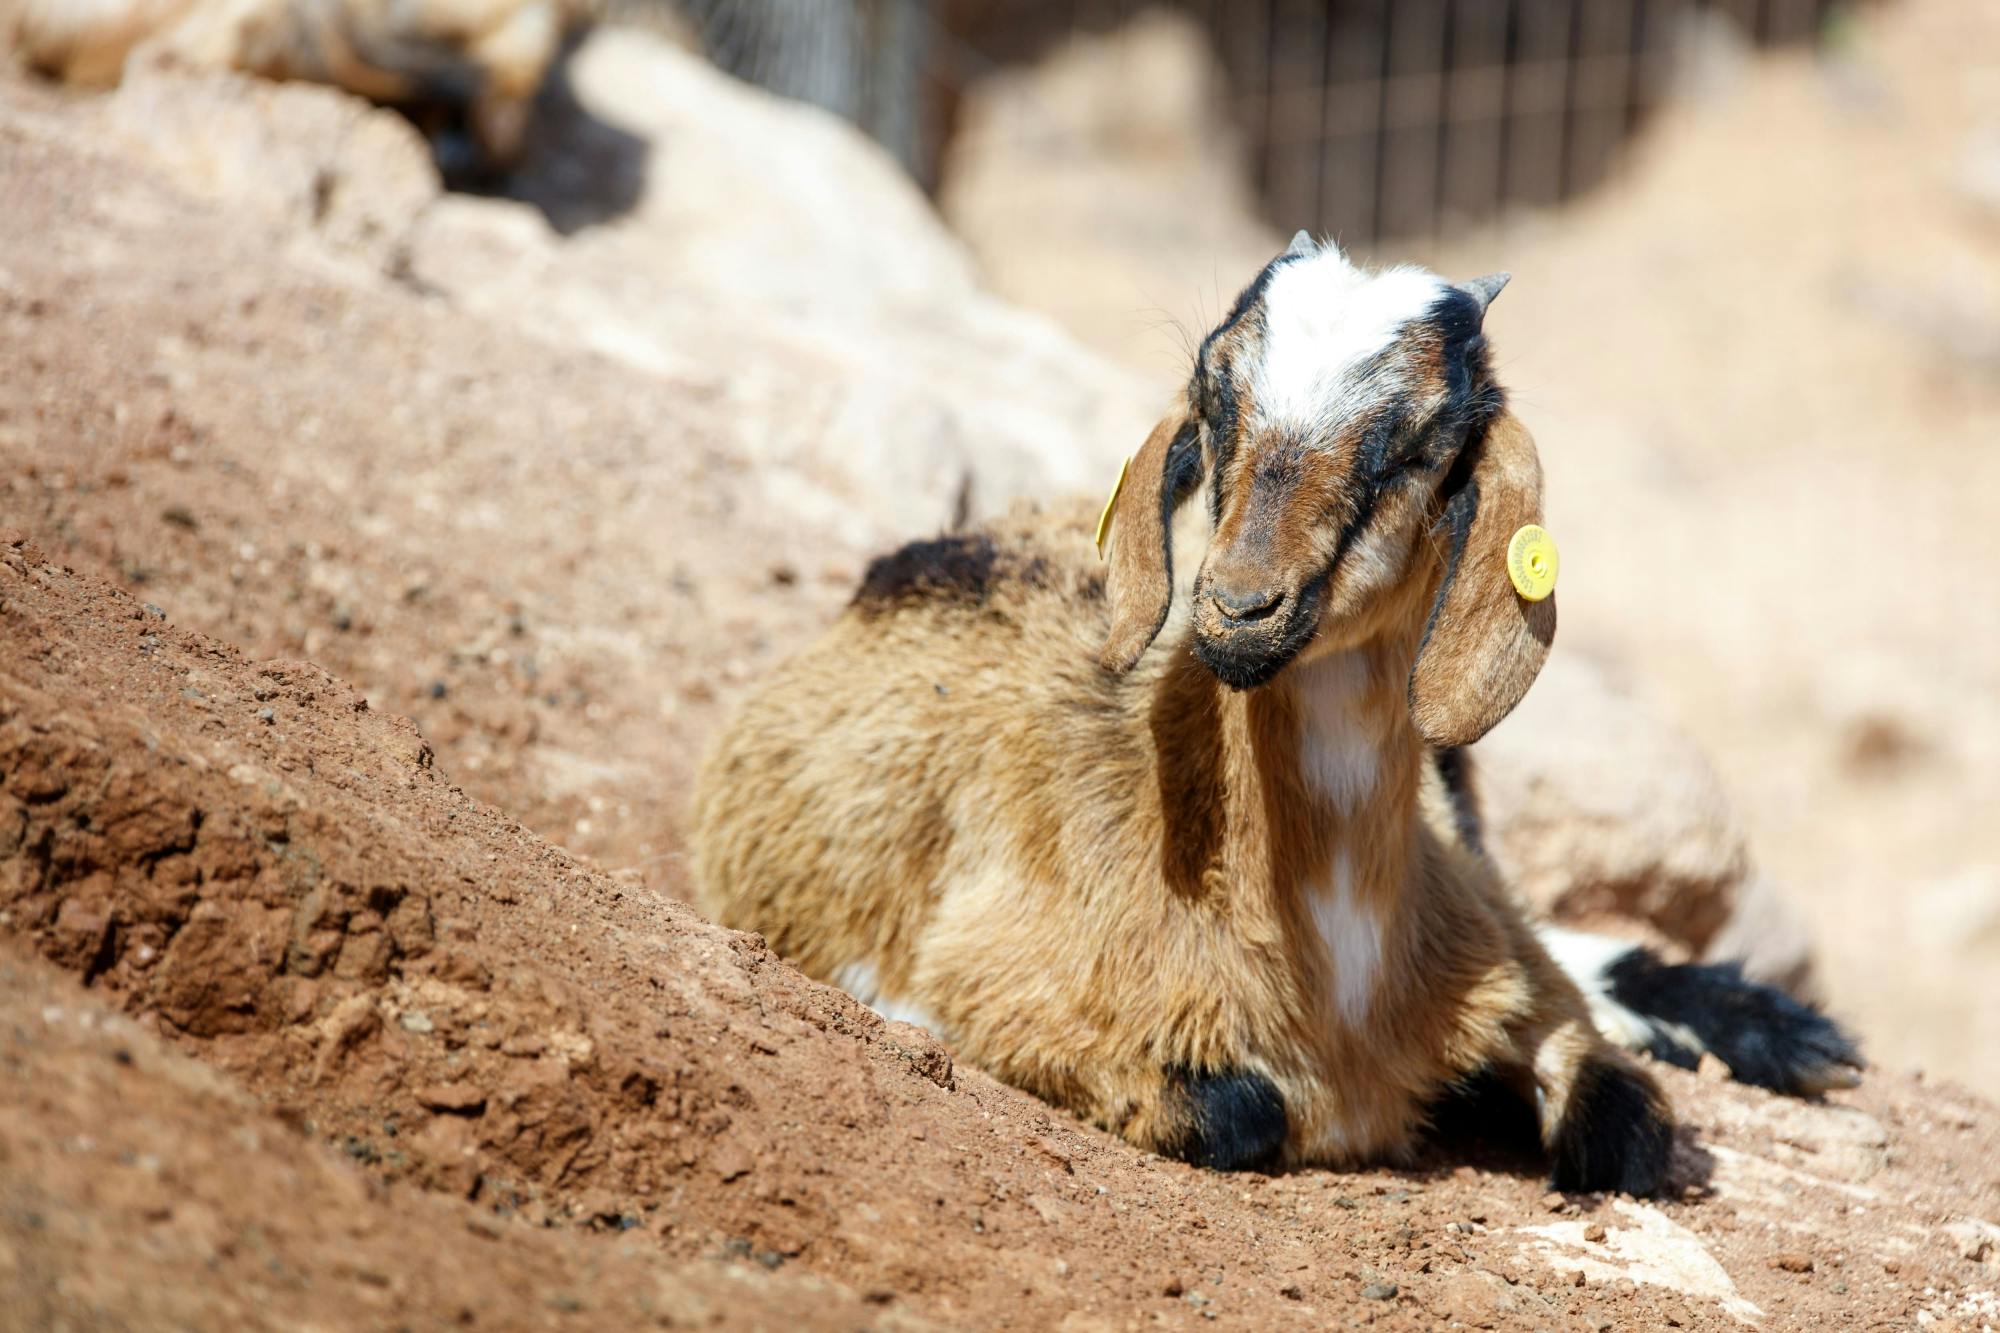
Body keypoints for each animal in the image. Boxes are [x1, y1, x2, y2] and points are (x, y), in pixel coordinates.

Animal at [692, 234, 1861, 1191]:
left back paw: (1778, 1028)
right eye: (1213, 402)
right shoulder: (1007, 978)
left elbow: (1622, 1121)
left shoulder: (1497, 957)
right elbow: (1239, 1108)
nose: (1237, 605)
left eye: (1418, 448)